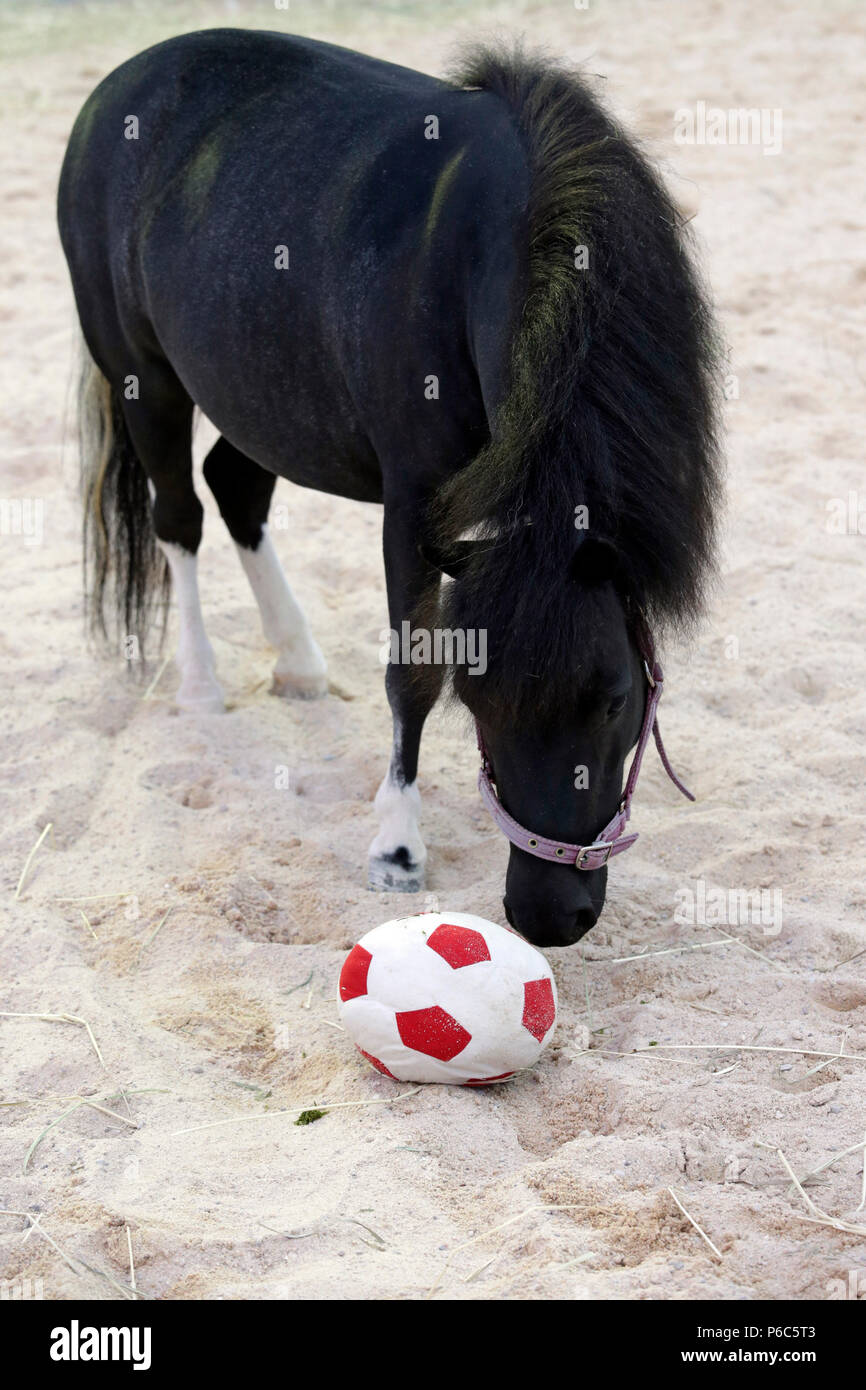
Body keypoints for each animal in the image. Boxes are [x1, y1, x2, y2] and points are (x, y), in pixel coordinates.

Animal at [57, 29, 721, 948]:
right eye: (476, 698)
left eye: (616, 696)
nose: (547, 916)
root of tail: (118, 85)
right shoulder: (414, 501)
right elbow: (412, 670)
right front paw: (398, 848)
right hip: (141, 375)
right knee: (178, 517)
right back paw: (200, 687)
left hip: (263, 392)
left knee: (235, 486)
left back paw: (300, 664)